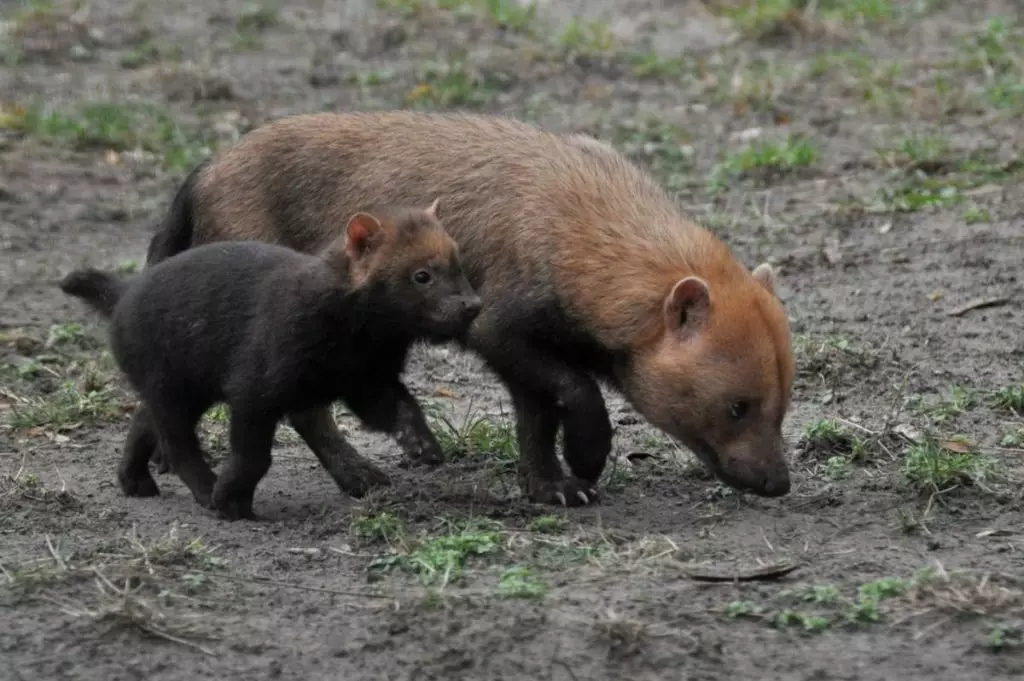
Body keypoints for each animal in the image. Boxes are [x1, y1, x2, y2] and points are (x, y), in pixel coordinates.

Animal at [59, 201, 479, 520]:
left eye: (459, 263)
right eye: (422, 275)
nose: (473, 305)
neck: (355, 337)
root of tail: (123, 291)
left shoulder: (368, 381)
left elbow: (404, 409)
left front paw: (423, 446)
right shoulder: (254, 391)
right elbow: (254, 456)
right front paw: (231, 501)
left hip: (178, 386)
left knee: (142, 421)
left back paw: (136, 482)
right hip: (174, 388)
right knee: (176, 444)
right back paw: (205, 489)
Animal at [140, 110, 794, 503]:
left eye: (783, 404)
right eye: (737, 407)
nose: (779, 484)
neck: (584, 232)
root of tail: (204, 171)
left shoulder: (528, 354)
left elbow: (536, 419)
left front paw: (549, 487)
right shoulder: (501, 328)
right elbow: (578, 393)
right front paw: (586, 462)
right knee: (303, 408)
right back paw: (359, 476)